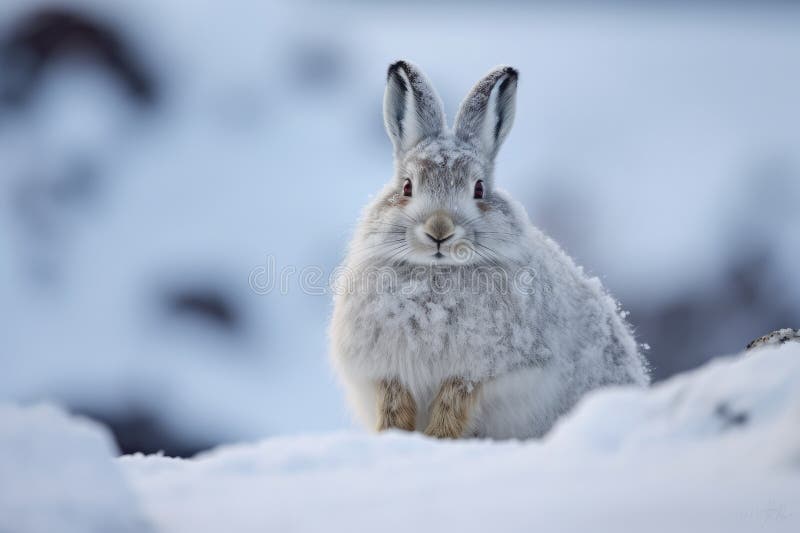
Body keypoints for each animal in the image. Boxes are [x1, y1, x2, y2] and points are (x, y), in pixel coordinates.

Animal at [329, 60, 649, 440]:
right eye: (407, 187)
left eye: (479, 189)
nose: (440, 230)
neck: (438, 272)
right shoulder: (387, 373)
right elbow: (395, 407)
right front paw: (394, 438)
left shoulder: (482, 372)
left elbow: (452, 406)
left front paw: (439, 439)